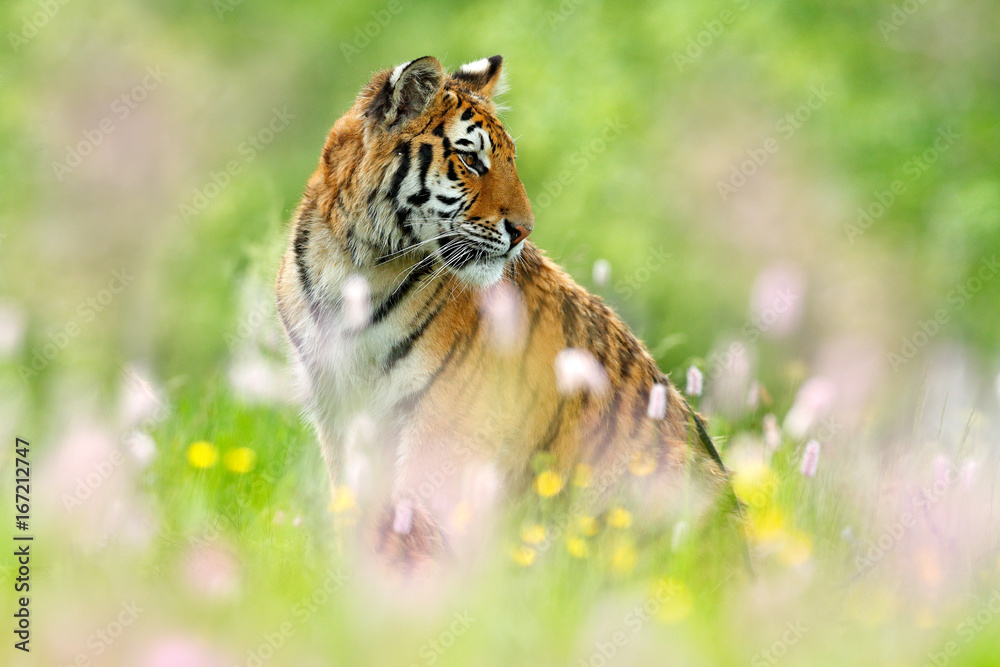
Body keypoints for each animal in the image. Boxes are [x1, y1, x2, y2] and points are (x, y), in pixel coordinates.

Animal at [275, 55, 731, 566]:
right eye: (472, 159)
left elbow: (411, 530)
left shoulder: (440, 425)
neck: (356, 264)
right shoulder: (338, 412)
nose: (524, 231)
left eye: (512, 159)